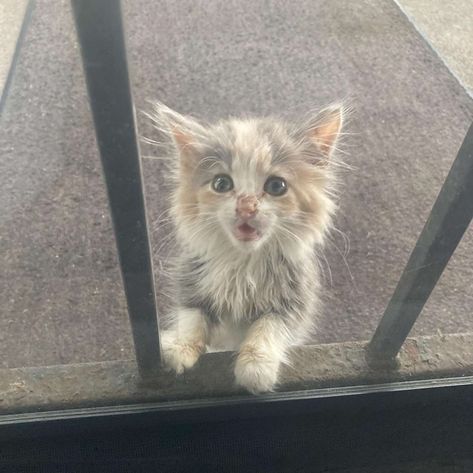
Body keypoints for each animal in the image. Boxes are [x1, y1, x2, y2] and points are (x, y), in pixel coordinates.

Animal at [149, 104, 344, 394]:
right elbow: (192, 317)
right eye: (221, 184)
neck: (243, 261)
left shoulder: (294, 298)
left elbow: (268, 328)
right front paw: (179, 348)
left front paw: (255, 368)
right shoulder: (192, 278)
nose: (246, 206)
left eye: (276, 186)